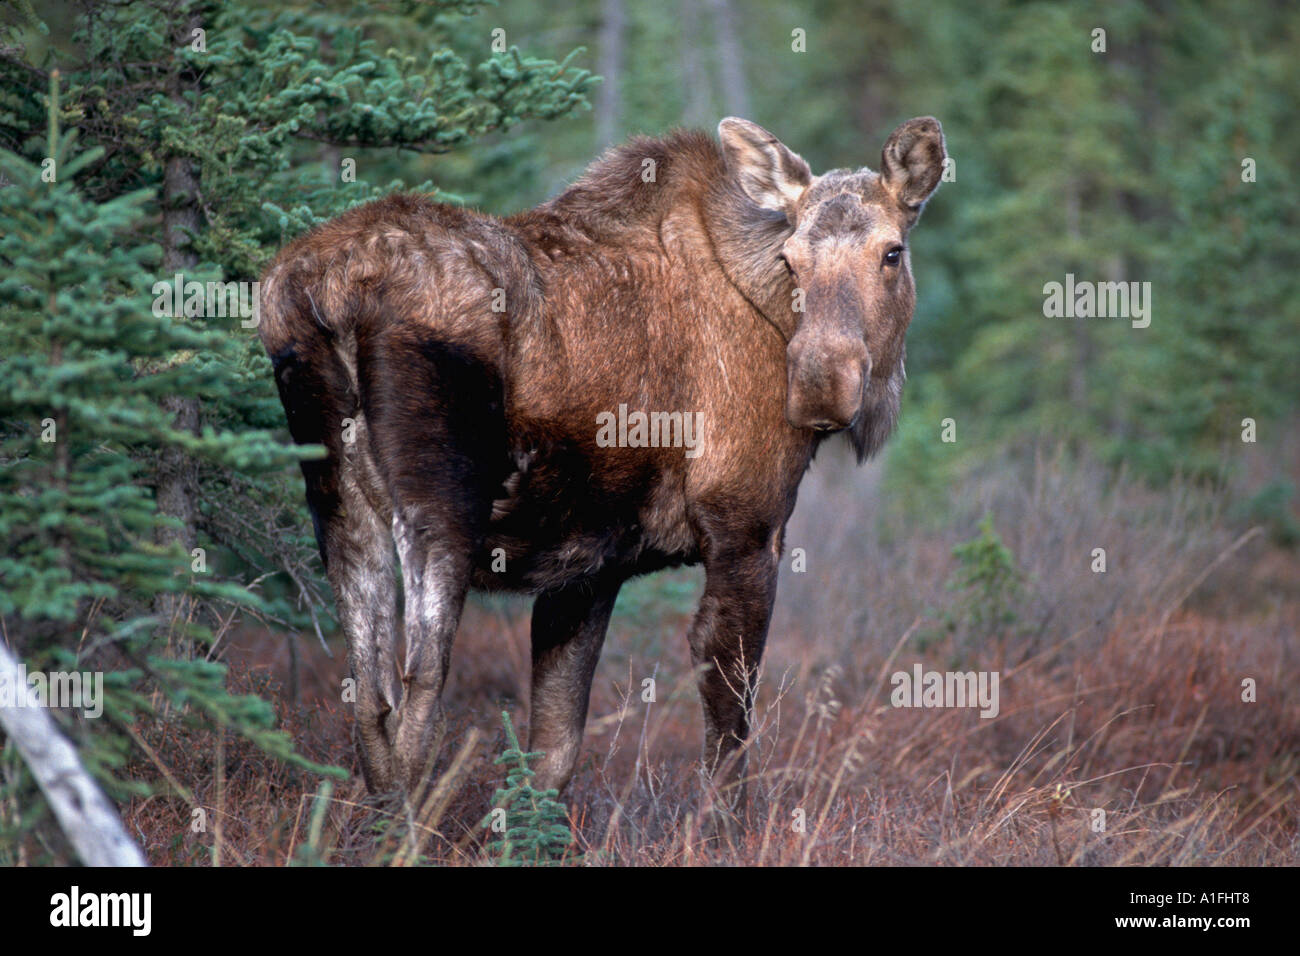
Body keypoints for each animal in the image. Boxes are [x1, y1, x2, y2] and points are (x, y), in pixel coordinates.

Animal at [258, 115, 946, 806]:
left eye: (892, 252)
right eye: (792, 258)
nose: (821, 383)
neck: (770, 314)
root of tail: (325, 291)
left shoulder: (588, 568)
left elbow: (553, 756)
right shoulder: (746, 528)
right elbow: (727, 732)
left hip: (338, 502)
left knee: (368, 696)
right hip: (443, 506)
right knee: (418, 693)